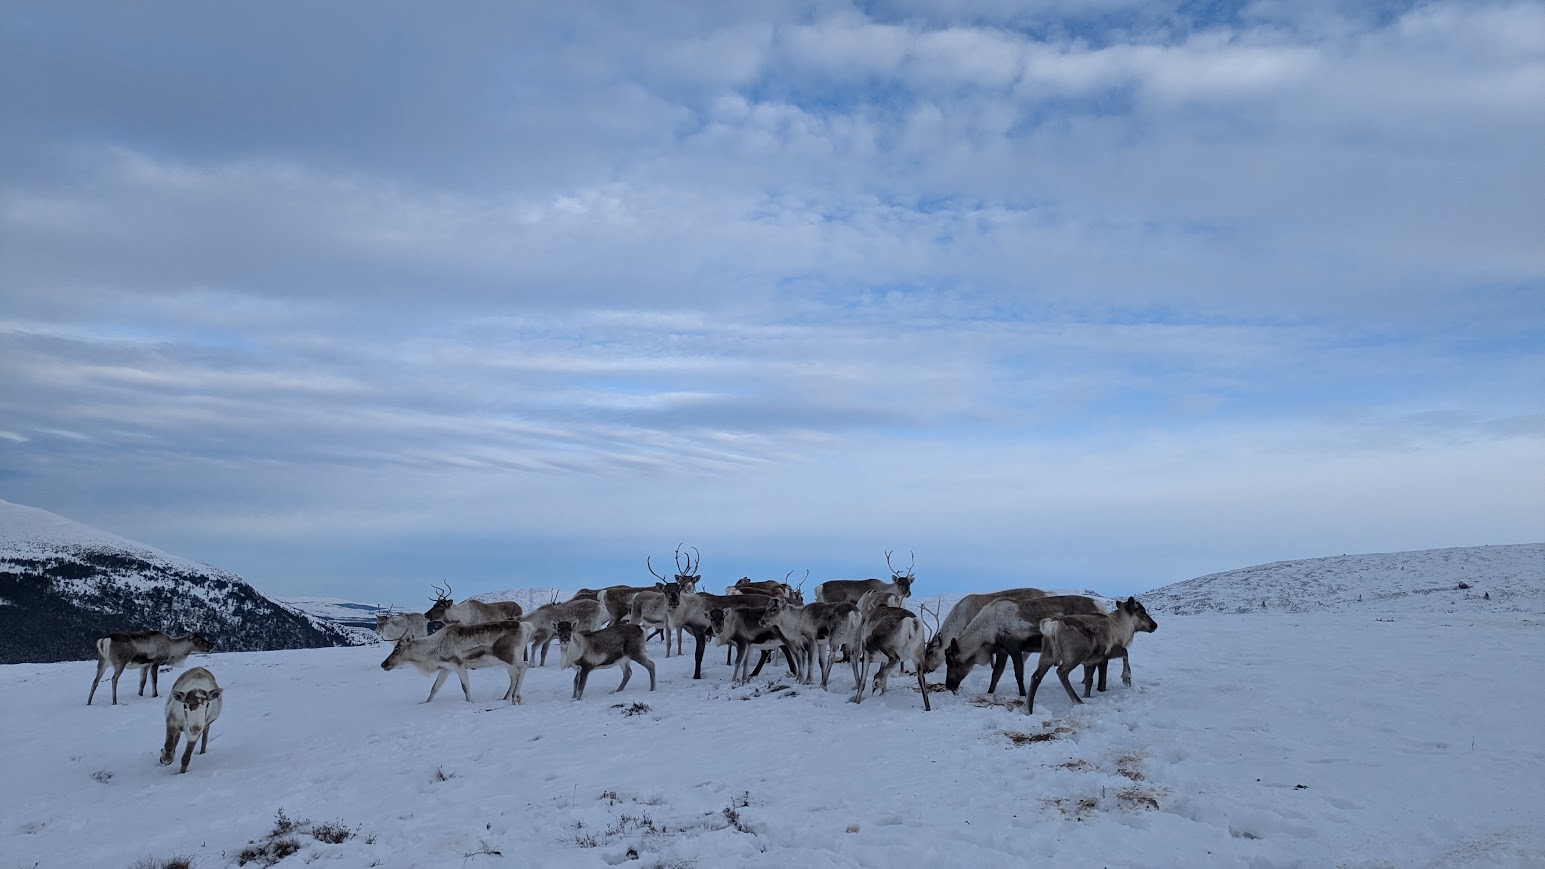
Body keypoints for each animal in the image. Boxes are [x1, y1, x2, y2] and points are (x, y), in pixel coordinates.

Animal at [379, 619, 532, 704]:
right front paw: (426, 703)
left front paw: (471, 702)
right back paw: (506, 697)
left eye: (397, 649)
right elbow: (434, 688)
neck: (434, 651)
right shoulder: (446, 668)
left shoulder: (458, 665)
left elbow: (465, 687)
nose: (383, 664)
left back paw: (515, 697)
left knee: (524, 666)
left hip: (508, 655)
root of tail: (526, 626)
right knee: (514, 676)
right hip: (506, 661)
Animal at [942, 595, 1109, 695]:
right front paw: (990, 692)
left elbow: (1018, 674)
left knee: (1103, 662)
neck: (988, 634)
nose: (948, 684)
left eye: (951, 661)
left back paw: (1100, 687)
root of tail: (1102, 608)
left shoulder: (1014, 648)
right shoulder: (1002, 651)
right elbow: (996, 674)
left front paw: (1023, 693)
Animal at [1027, 597, 1158, 714]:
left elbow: (1089, 681)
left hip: (1047, 655)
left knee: (1036, 676)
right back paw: (1078, 701)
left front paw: (1087, 695)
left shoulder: (1090, 662)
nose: (1155, 625)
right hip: (1074, 656)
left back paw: (1029, 708)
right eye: (1142, 611)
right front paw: (1126, 678)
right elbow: (1125, 653)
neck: (1122, 627)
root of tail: (1053, 624)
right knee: (1061, 672)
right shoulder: (1109, 653)